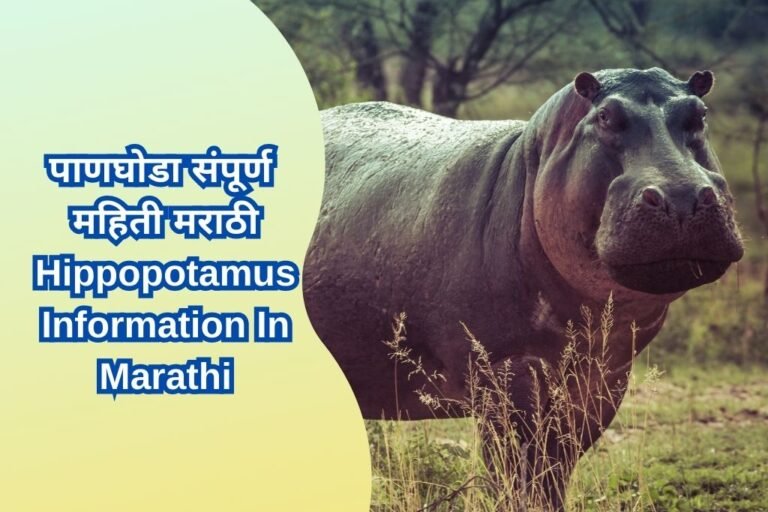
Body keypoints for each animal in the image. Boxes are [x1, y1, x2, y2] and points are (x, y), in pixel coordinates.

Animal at [303, 68, 743, 509]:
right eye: (605, 116)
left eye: (700, 114)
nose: (682, 196)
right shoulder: (503, 372)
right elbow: (513, 470)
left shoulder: (605, 377)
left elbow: (555, 470)